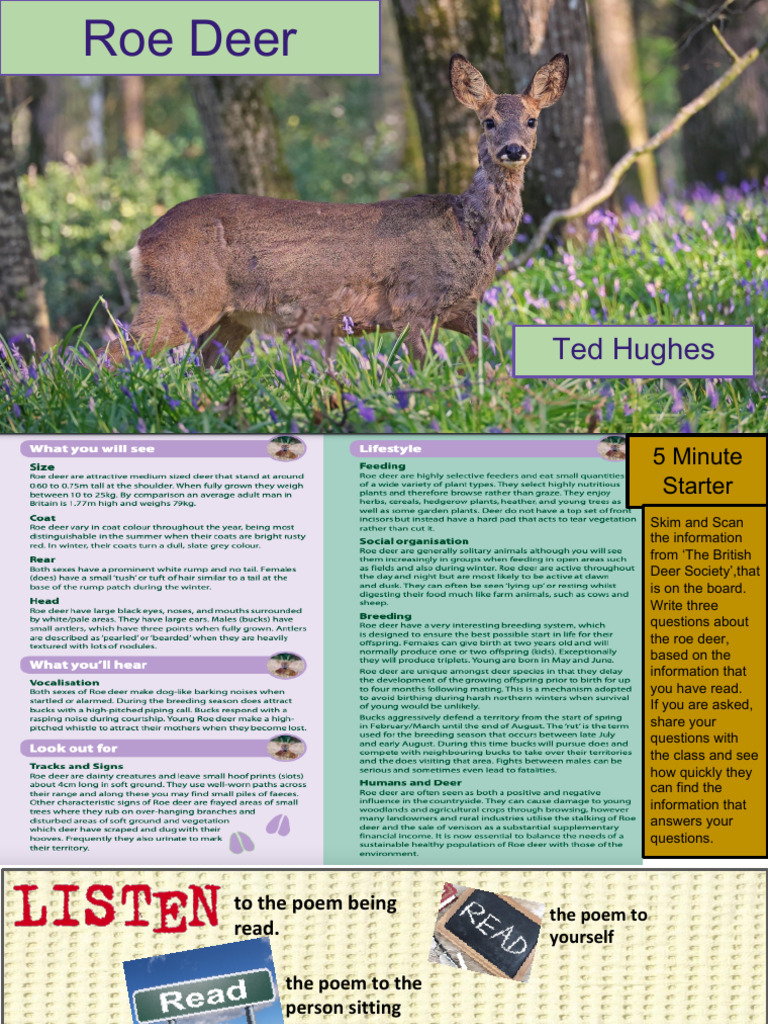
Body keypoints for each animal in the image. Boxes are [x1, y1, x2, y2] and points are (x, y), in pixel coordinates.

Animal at [111, 53, 569, 368]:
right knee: (114, 351)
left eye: (531, 120)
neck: (470, 231)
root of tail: (141, 241)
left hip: (231, 317)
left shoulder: (461, 306)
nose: (514, 150)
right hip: (178, 298)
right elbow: (428, 368)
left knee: (200, 367)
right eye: (489, 121)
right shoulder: (412, 302)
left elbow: (493, 346)